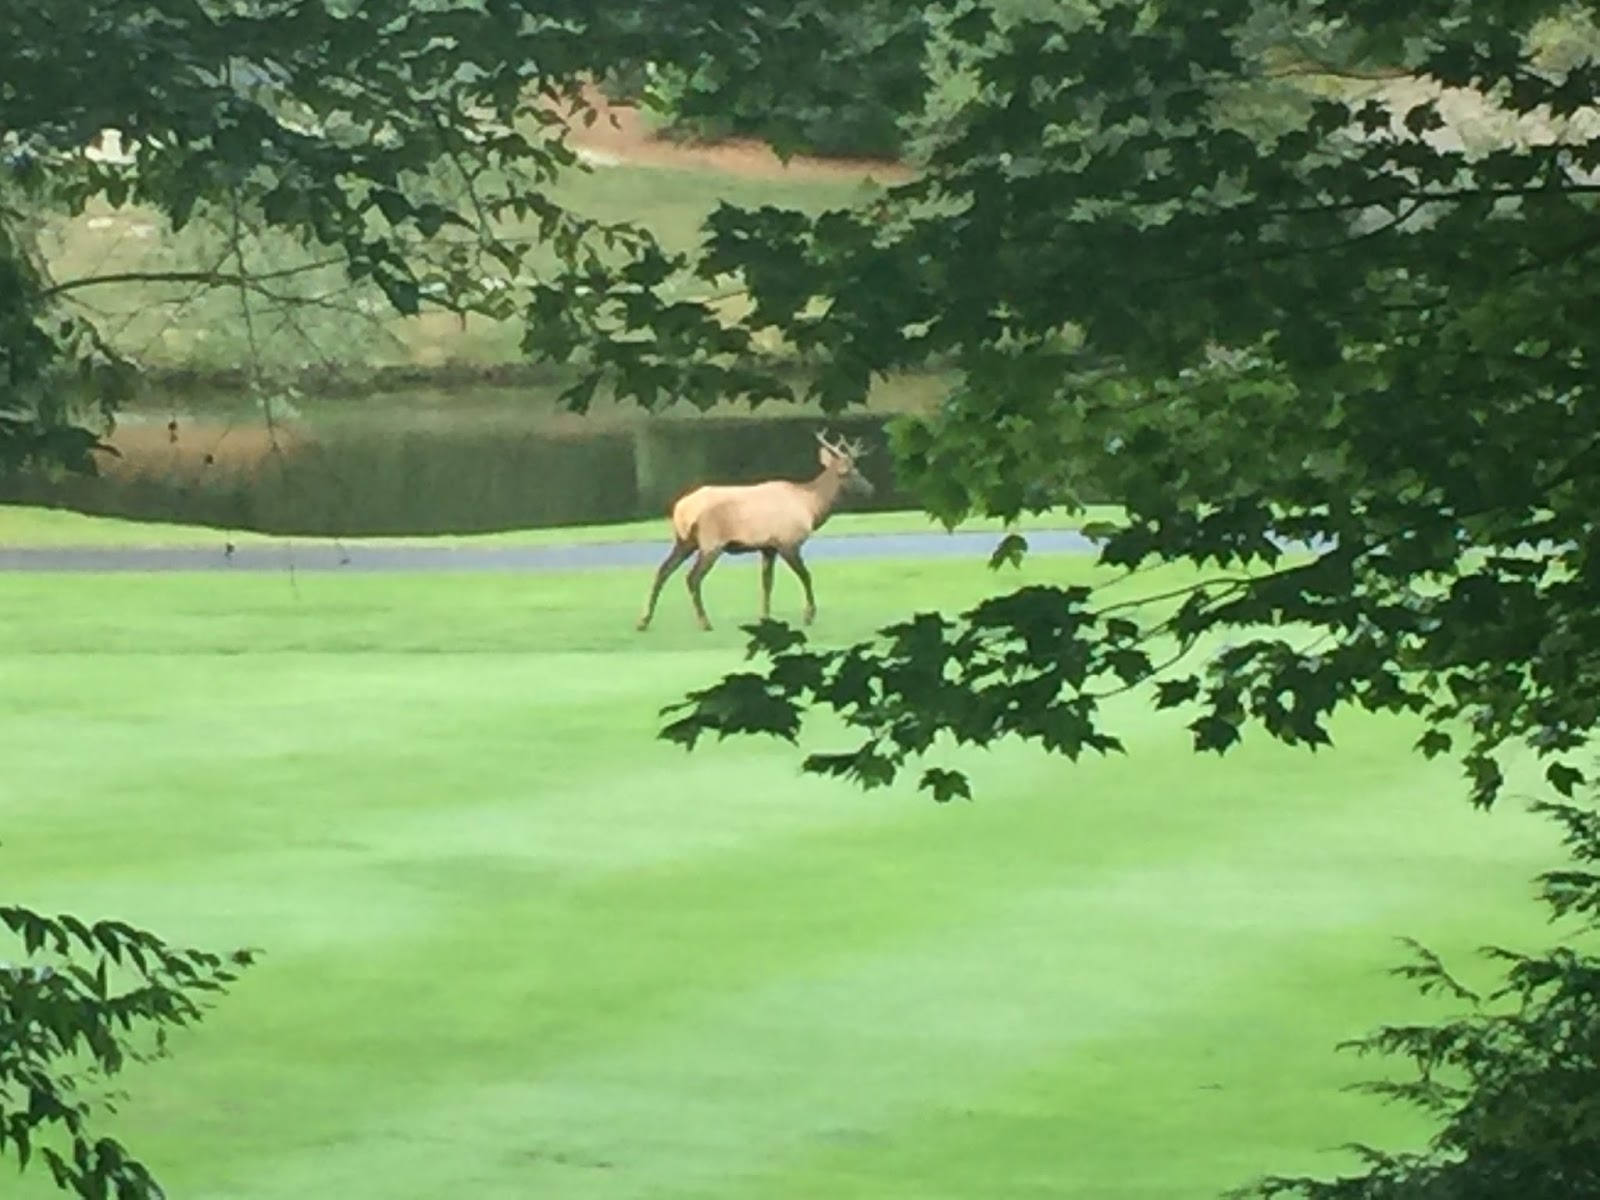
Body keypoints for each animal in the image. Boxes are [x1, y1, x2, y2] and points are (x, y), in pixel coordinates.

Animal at [636, 430, 876, 632]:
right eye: (852, 471)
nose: (871, 489)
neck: (811, 506)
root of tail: (681, 509)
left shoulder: (768, 547)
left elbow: (767, 583)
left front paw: (765, 616)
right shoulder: (788, 542)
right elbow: (806, 576)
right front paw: (809, 615)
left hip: (684, 541)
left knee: (663, 571)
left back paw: (644, 621)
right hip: (711, 542)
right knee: (692, 577)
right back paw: (705, 622)